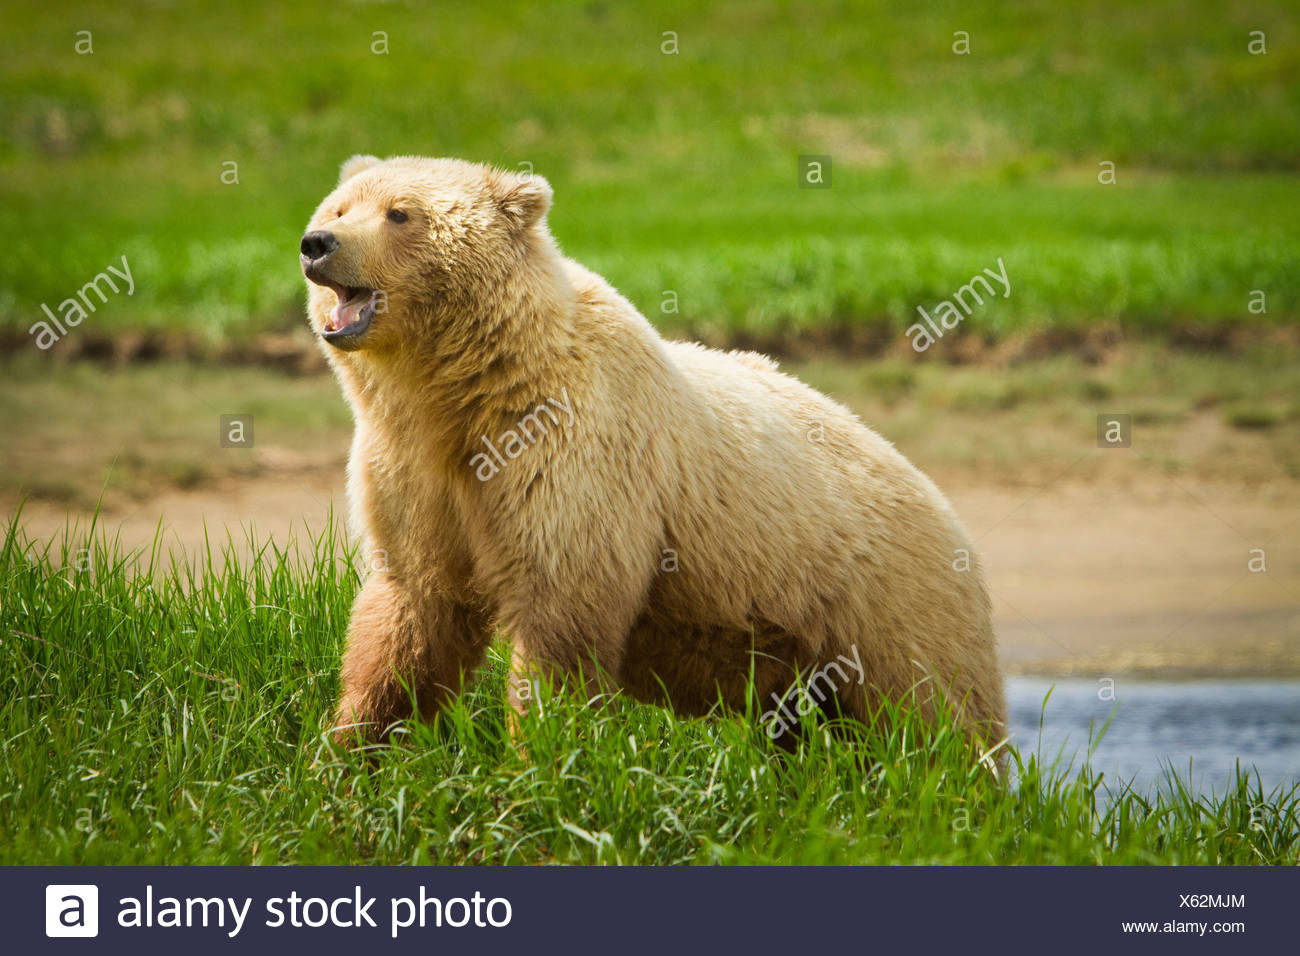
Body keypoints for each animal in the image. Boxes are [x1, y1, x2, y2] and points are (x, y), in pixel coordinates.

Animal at [300, 154, 1006, 760]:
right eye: (340, 206)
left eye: (400, 213)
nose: (316, 244)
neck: (458, 396)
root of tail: (938, 498)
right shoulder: (411, 469)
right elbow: (413, 615)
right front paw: (347, 751)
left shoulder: (570, 458)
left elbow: (561, 622)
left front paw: (542, 760)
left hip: (892, 608)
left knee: (938, 724)